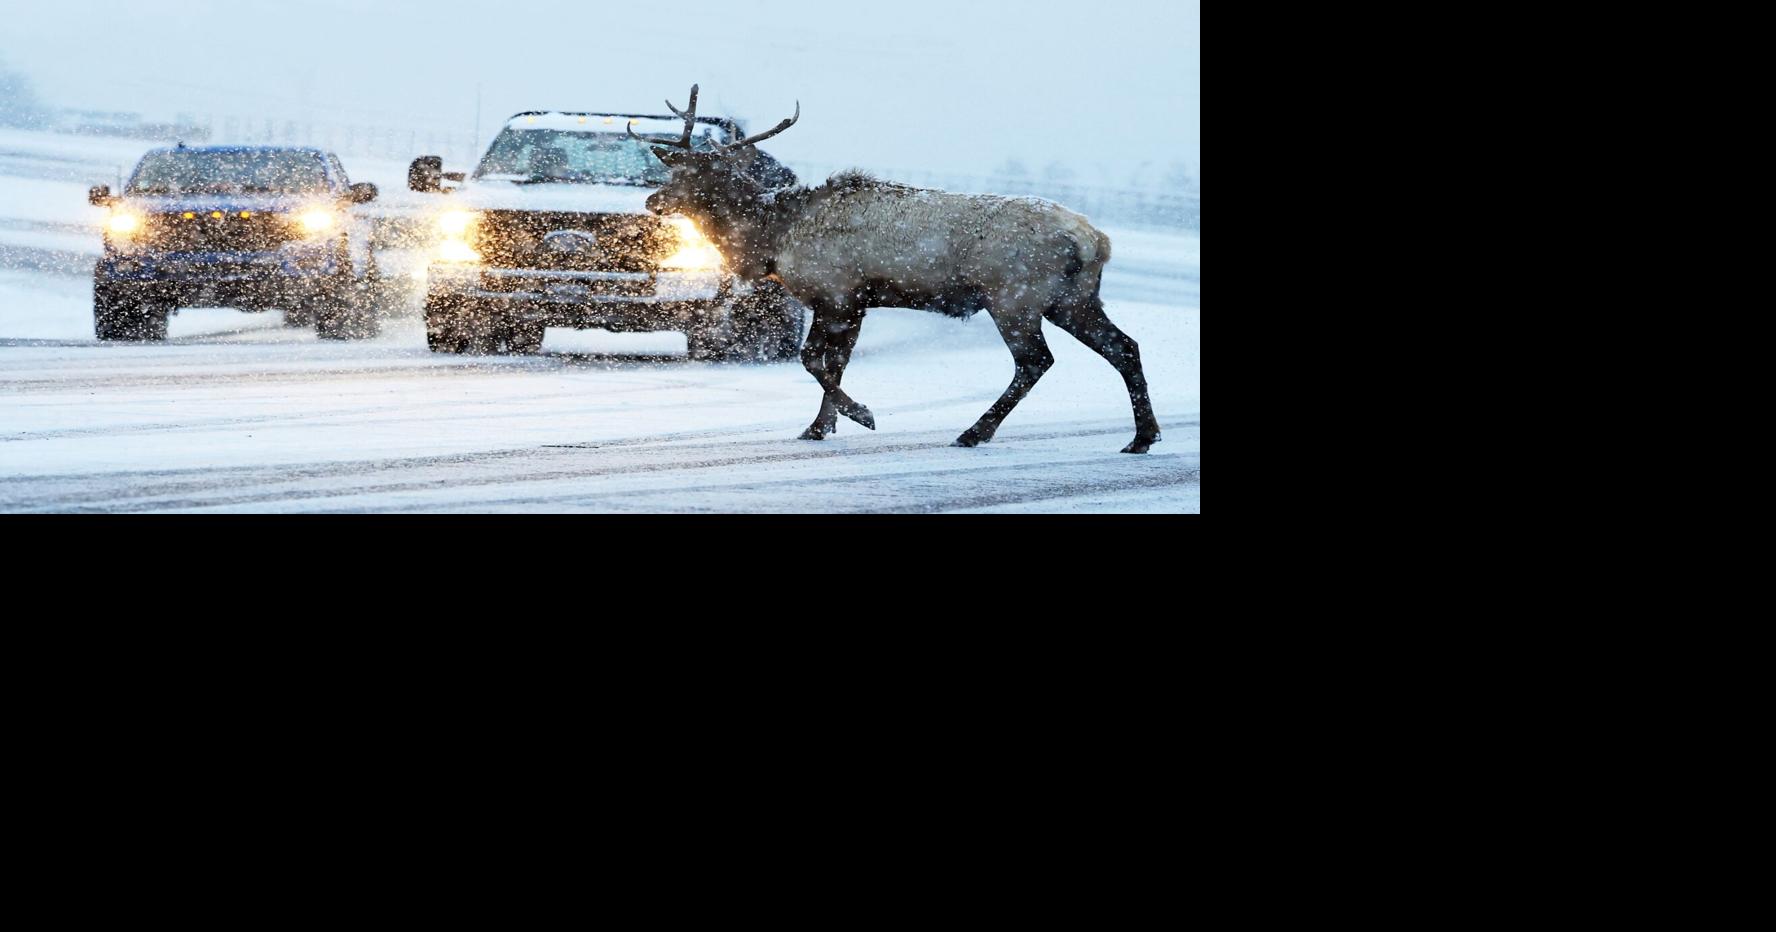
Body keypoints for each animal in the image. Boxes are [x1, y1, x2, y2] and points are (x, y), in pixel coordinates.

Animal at [634, 86, 1162, 454]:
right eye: (673, 171)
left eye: (700, 176)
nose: (653, 201)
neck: (774, 239)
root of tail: (1096, 241)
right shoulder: (857, 302)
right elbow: (835, 363)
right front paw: (819, 427)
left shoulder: (838, 294)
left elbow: (814, 361)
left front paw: (860, 415)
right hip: (1073, 299)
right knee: (1124, 347)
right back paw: (1142, 437)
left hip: (1015, 297)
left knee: (1036, 361)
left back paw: (974, 432)